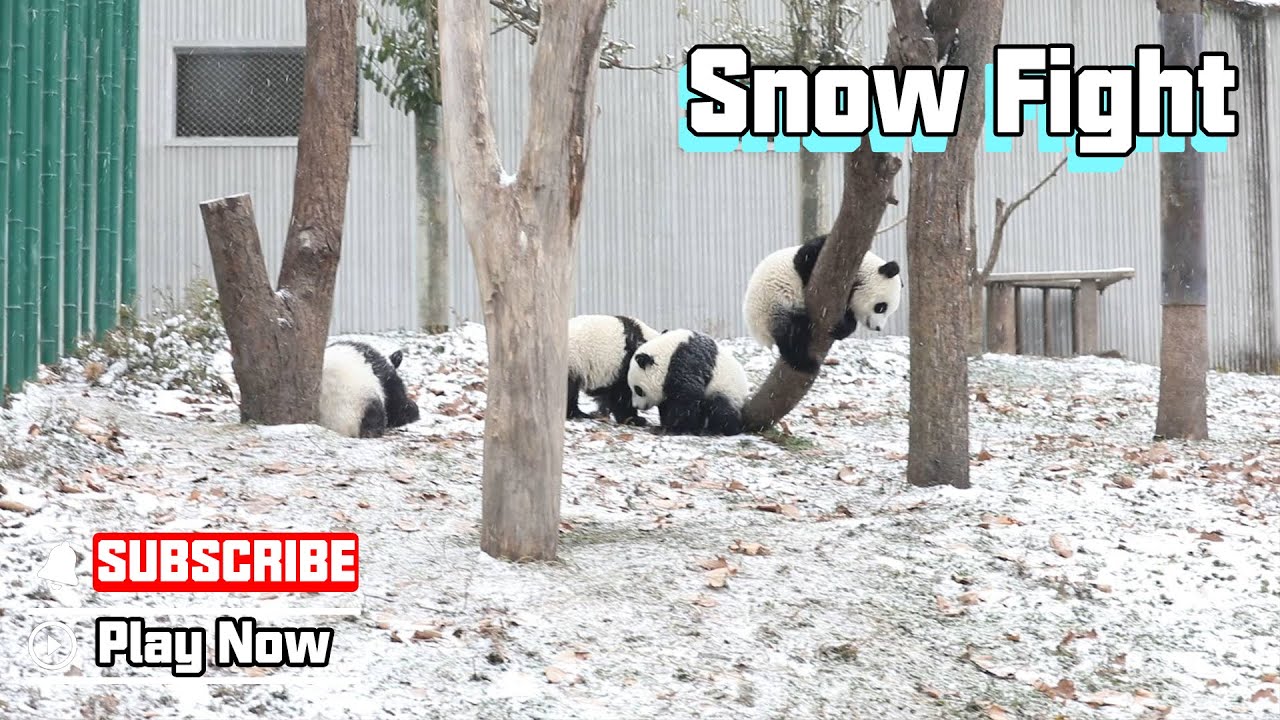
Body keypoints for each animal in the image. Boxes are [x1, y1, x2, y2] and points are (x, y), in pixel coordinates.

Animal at [743, 234, 903, 374]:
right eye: (881, 307)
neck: (861, 268)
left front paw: (841, 328)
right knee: (791, 332)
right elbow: (805, 261)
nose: (878, 328)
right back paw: (804, 362)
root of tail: (760, 336)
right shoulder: (823, 256)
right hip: (772, 306)